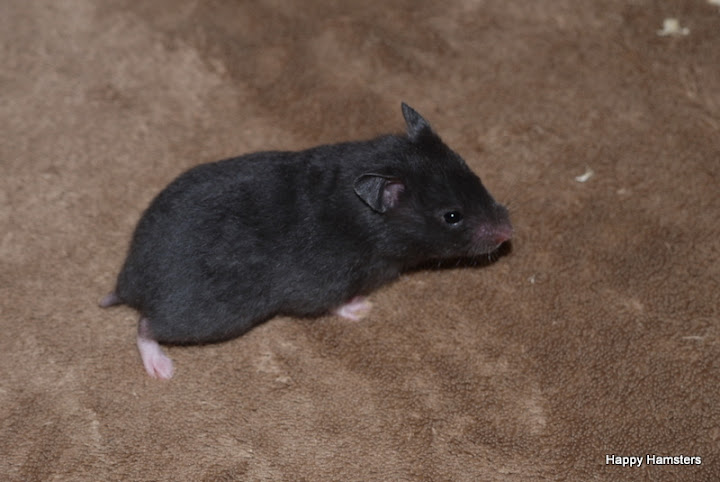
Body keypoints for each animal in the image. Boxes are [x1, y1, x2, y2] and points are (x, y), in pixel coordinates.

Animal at [100, 103, 513, 379]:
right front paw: (362, 308)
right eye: (452, 216)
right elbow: (334, 304)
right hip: (212, 317)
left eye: (475, 176)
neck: (365, 218)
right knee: (145, 327)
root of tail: (128, 281)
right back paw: (162, 368)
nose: (509, 231)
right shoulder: (324, 285)